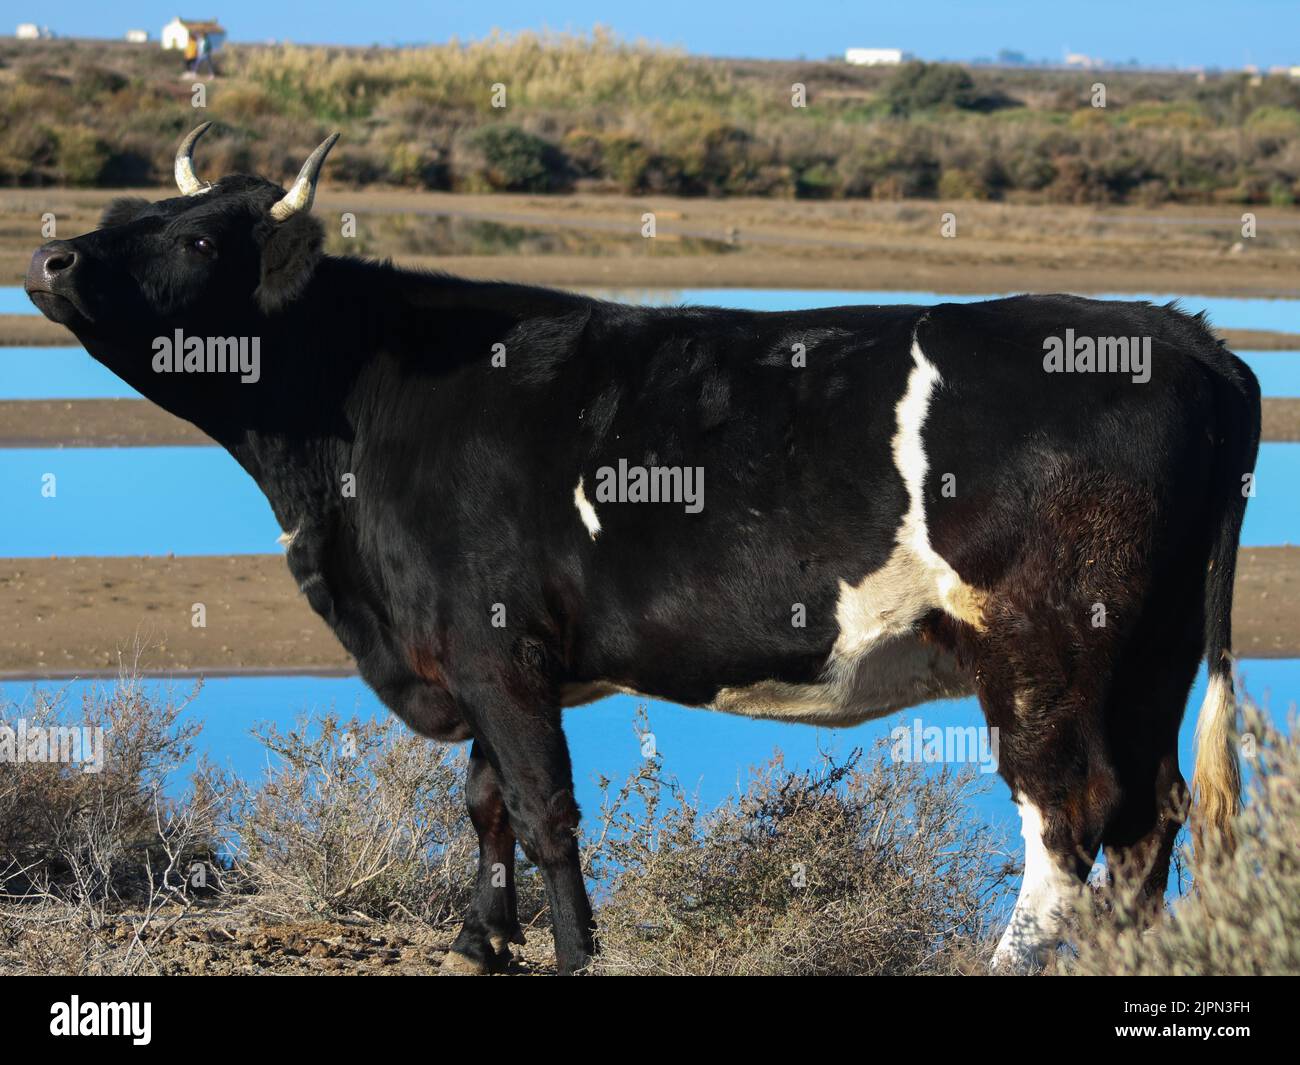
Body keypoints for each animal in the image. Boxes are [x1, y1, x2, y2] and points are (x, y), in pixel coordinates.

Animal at [25, 124, 1260, 975]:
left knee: (1070, 814)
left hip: (1044, 653)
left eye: (195, 238)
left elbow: (542, 811)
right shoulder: (483, 659)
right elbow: (484, 803)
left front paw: (574, 954)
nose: (50, 259)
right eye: (136, 209)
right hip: (1146, 653)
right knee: (1149, 818)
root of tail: (1173, 326)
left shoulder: (497, 649)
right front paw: (478, 946)